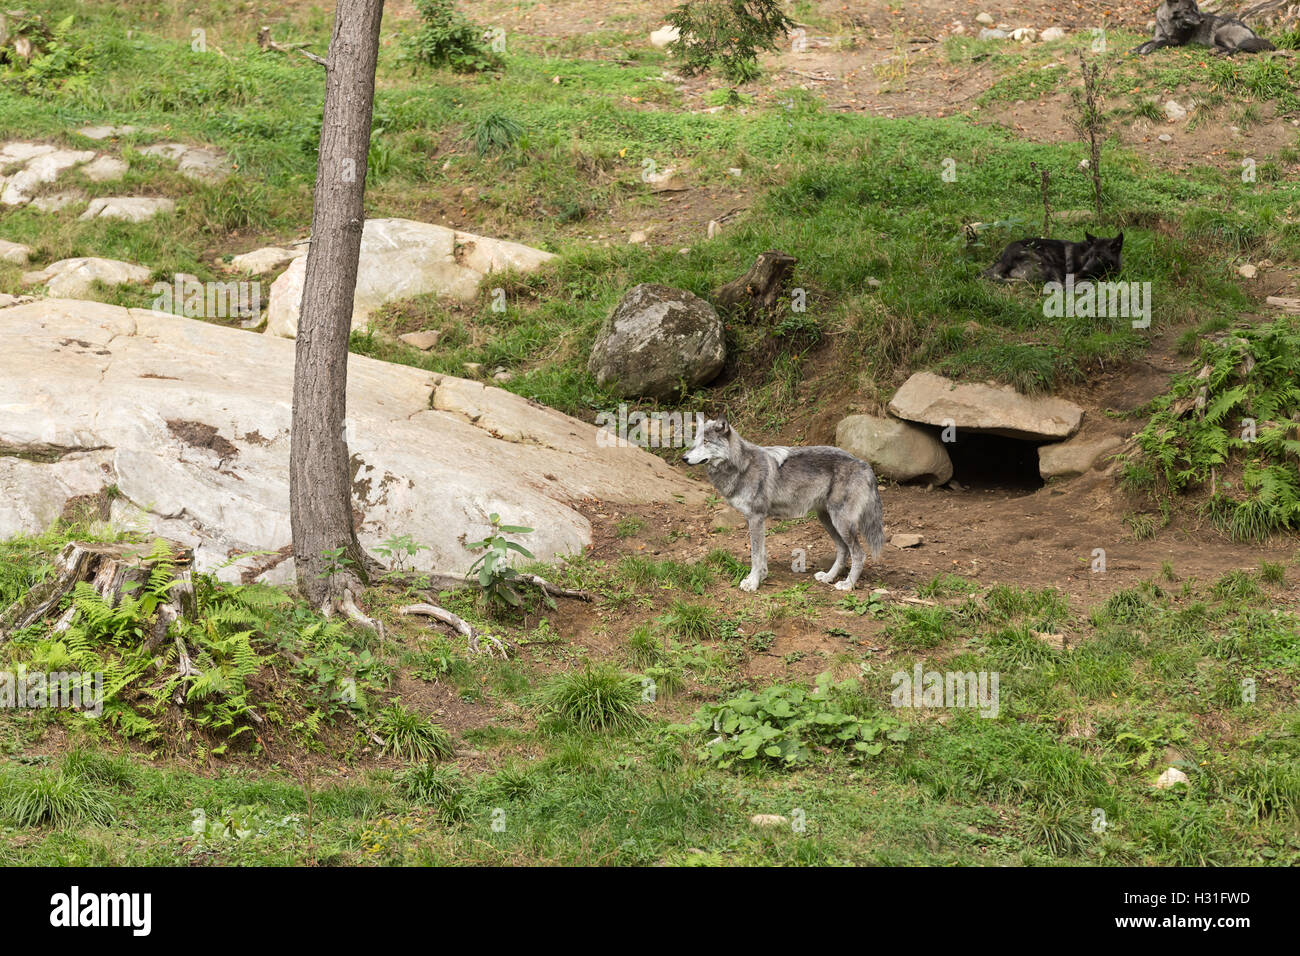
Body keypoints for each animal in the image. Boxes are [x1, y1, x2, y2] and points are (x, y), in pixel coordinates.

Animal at [682, 418, 884, 592]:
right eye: (695, 442)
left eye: (706, 442)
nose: (684, 458)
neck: (742, 465)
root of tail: (865, 465)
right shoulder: (755, 519)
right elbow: (762, 554)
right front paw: (761, 577)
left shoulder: (756, 518)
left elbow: (755, 555)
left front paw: (752, 583)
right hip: (828, 520)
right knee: (843, 550)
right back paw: (828, 577)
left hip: (840, 523)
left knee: (858, 554)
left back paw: (848, 584)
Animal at [1135, 0, 1274, 55]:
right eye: (1187, 9)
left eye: (1196, 8)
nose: (1202, 20)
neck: (1169, 24)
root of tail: (1254, 34)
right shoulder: (1158, 36)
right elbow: (1147, 42)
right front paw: (1135, 49)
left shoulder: (1178, 41)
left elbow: (1160, 43)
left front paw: (1147, 48)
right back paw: (1215, 51)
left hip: (1219, 33)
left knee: (1236, 48)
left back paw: (1222, 54)